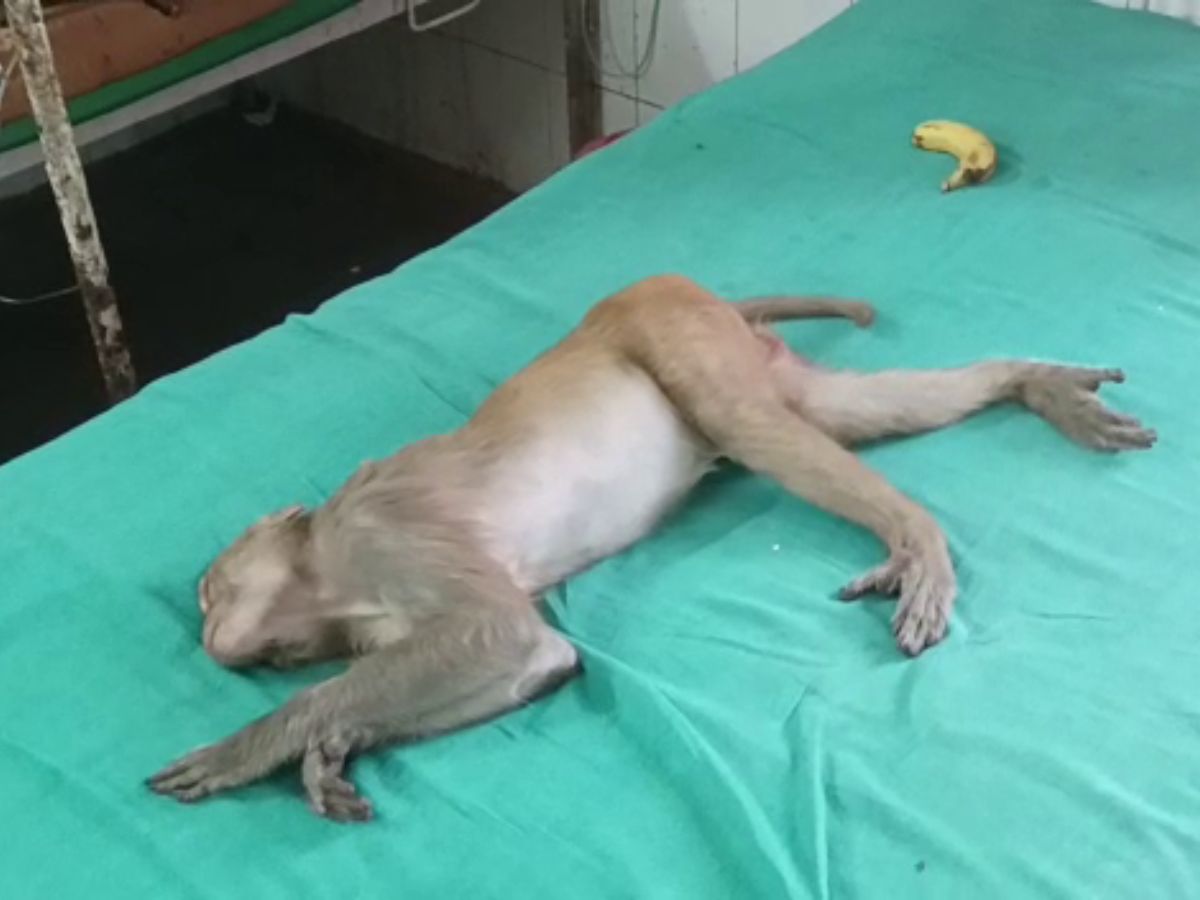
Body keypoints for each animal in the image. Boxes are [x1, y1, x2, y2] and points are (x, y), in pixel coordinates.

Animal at [147, 274, 1155, 822]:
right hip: (746, 358)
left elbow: (497, 631)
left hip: (670, 329)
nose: (214, 635)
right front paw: (333, 745)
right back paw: (1024, 380)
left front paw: (263, 740)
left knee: (750, 426)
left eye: (209, 594)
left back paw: (919, 534)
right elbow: (535, 662)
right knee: (834, 415)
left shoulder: (381, 536)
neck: (327, 580)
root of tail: (692, 294)